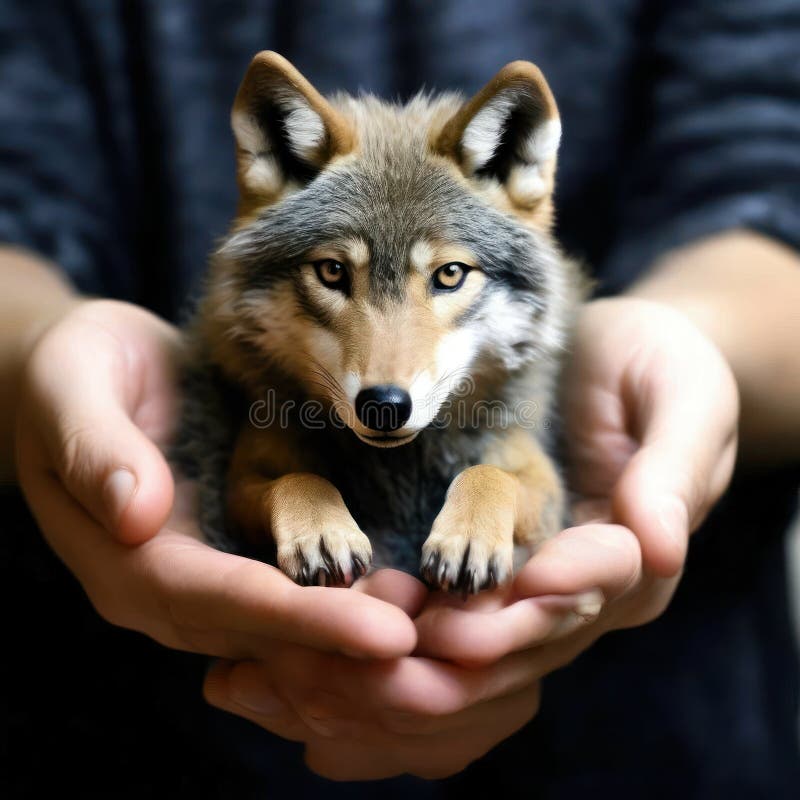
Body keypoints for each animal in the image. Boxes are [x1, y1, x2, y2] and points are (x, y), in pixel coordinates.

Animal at [174, 51, 583, 595]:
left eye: (450, 274)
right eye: (332, 271)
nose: (384, 405)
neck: (399, 464)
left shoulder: (542, 480)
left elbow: (488, 475)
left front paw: (468, 536)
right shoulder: (240, 485)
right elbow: (298, 480)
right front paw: (322, 529)